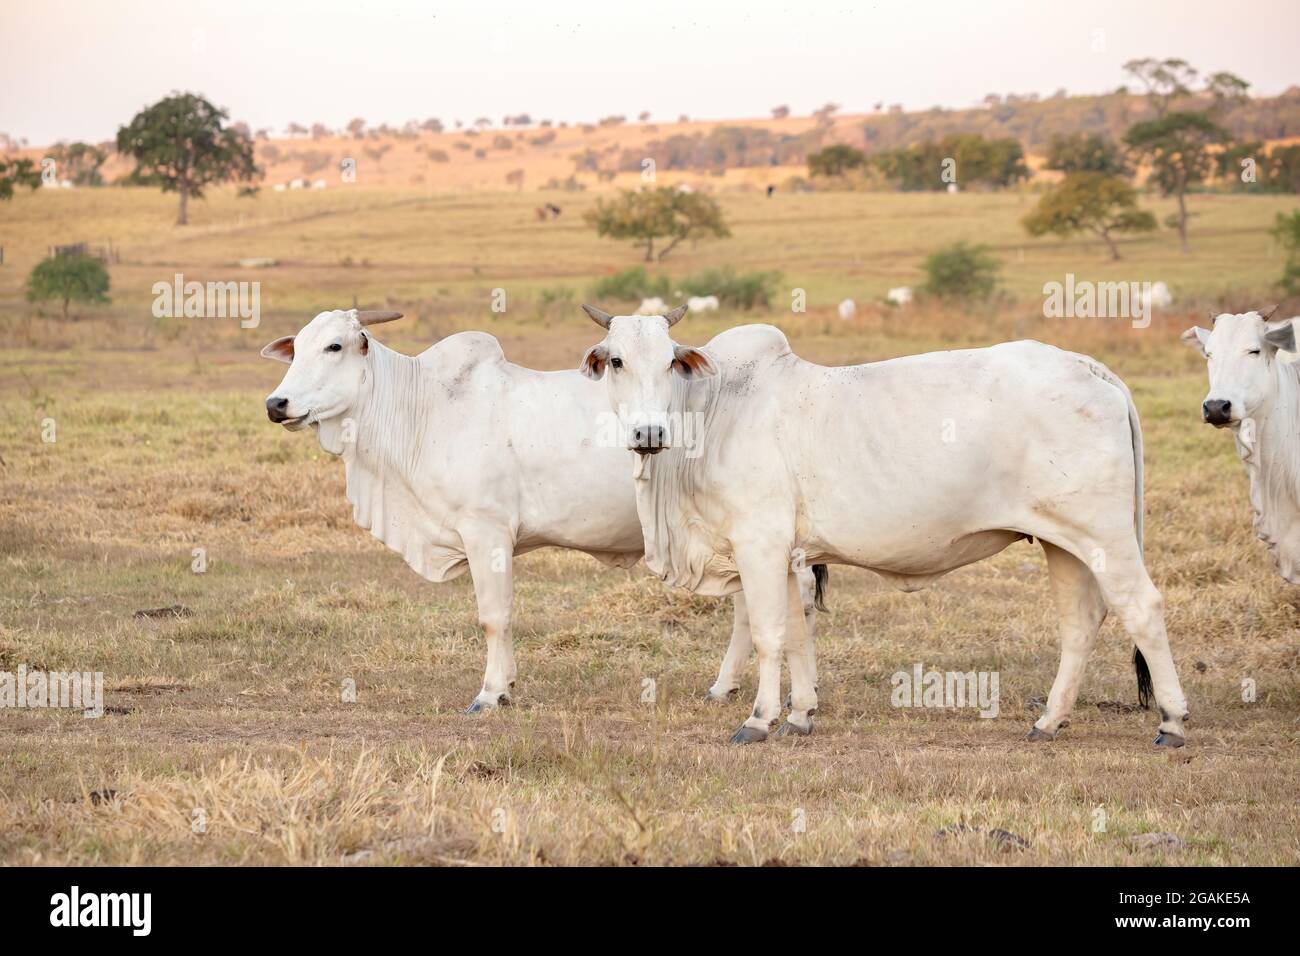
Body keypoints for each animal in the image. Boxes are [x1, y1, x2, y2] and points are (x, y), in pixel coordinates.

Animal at [261, 309, 823, 713]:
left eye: (334, 346)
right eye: (297, 347)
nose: (276, 403)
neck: (424, 407)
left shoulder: (486, 532)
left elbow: (494, 616)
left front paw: (491, 693)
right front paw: (507, 684)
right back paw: (732, 688)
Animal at [577, 304, 1189, 747]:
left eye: (669, 361)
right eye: (616, 361)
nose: (649, 433)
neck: (716, 407)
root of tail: (1088, 367)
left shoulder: (759, 544)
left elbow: (769, 633)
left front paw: (759, 719)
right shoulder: (792, 555)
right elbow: (796, 631)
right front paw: (800, 715)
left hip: (1106, 535)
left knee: (1143, 609)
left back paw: (1172, 721)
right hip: (1065, 543)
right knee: (1081, 623)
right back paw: (1048, 722)